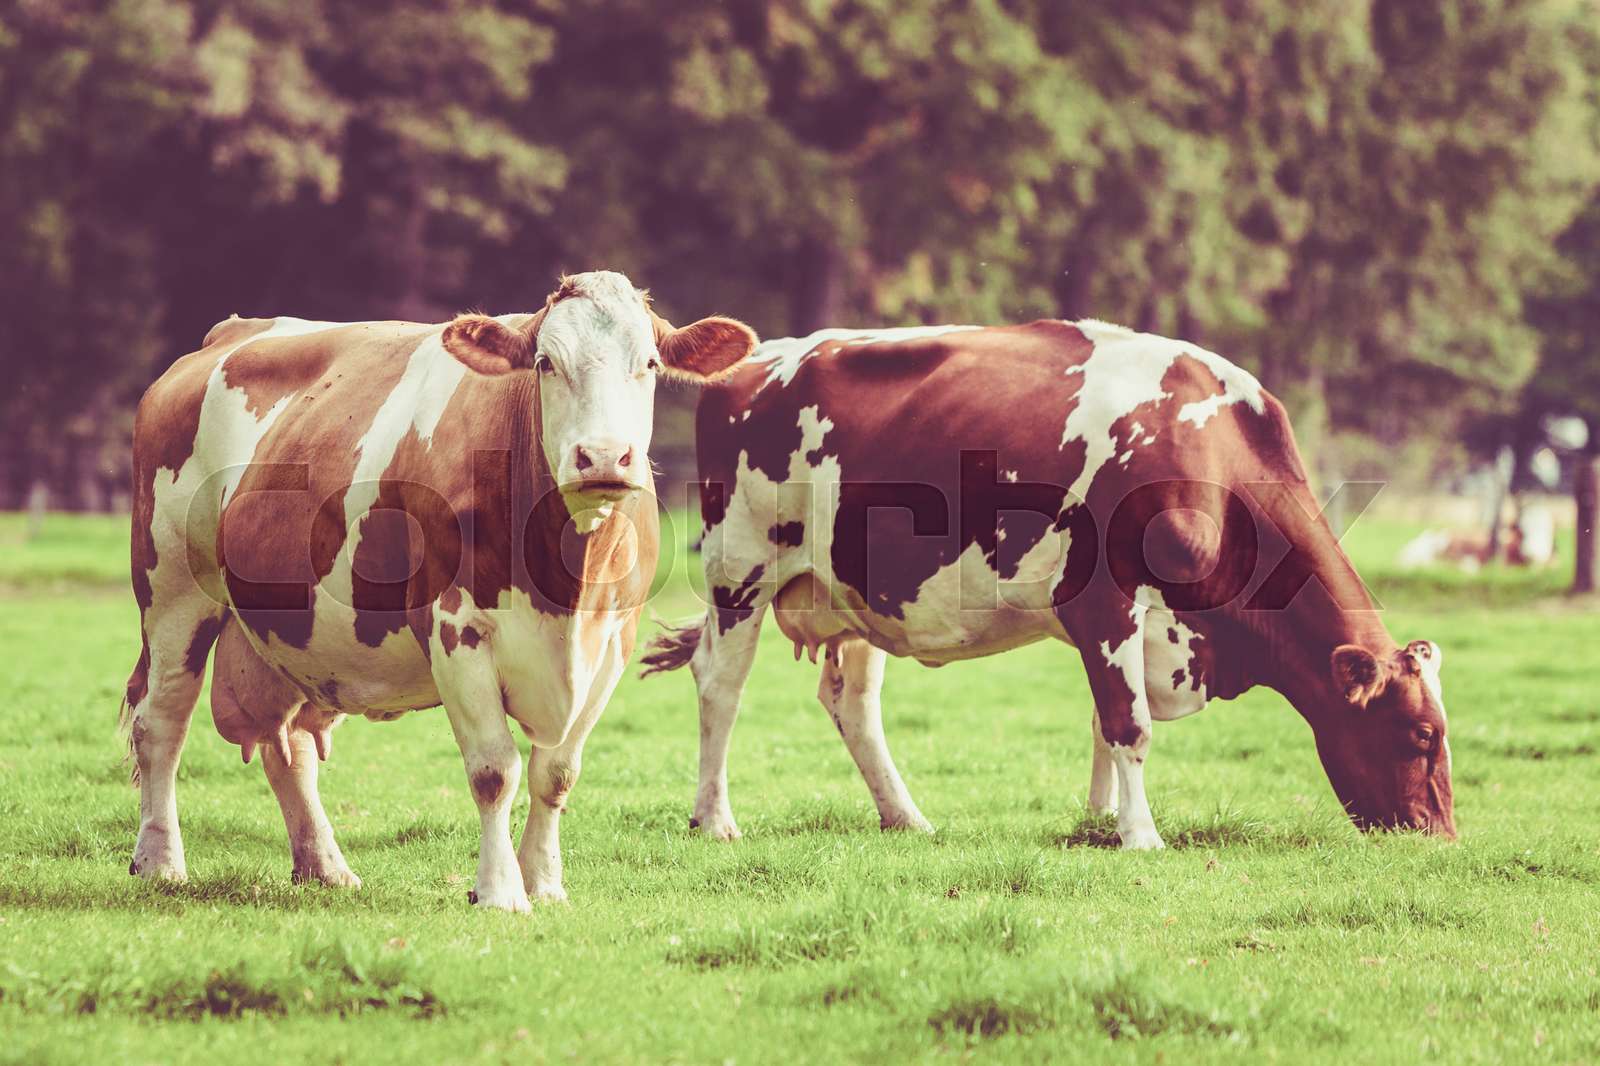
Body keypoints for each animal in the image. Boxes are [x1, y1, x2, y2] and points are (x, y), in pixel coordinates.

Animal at [123, 270, 756, 910]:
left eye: (649, 363)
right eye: (546, 363)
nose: (602, 456)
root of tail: (228, 333)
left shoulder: (611, 644)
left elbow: (557, 774)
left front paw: (545, 882)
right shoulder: (456, 632)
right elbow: (495, 771)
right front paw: (500, 892)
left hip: (294, 635)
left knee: (287, 745)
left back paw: (325, 865)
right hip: (172, 591)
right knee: (161, 722)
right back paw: (159, 860)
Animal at [642, 319, 1456, 848]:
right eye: (1421, 733)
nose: (1440, 835)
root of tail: (754, 361)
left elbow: (1102, 718)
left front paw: (1099, 820)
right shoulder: (1105, 602)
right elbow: (1128, 723)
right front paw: (1140, 835)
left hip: (857, 592)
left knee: (853, 705)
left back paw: (905, 817)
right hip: (740, 570)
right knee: (720, 685)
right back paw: (715, 820)